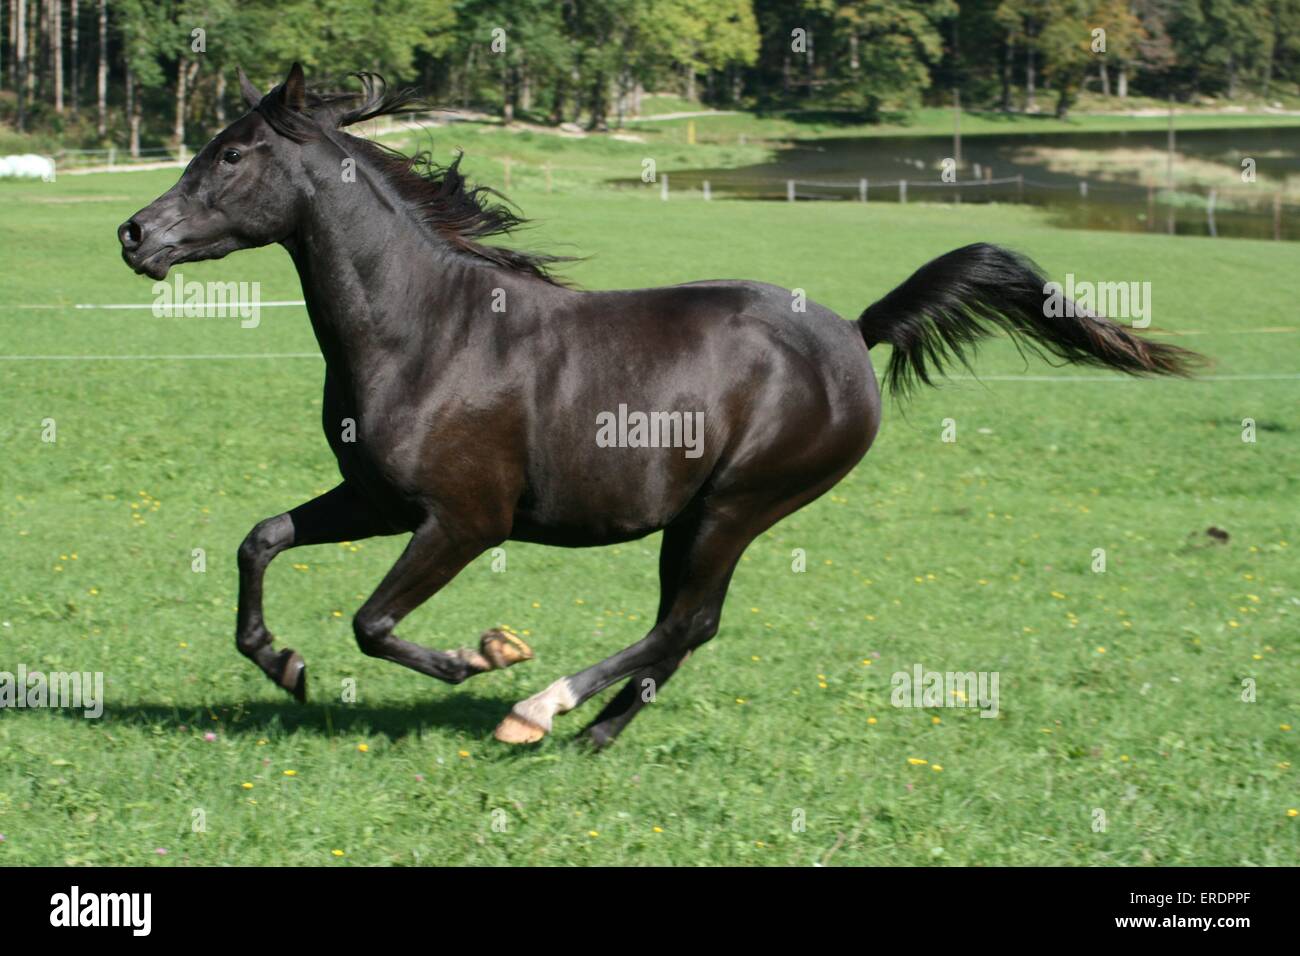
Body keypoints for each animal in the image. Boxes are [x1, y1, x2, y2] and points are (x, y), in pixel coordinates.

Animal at [118, 64, 1201, 748]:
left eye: (232, 155)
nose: (135, 234)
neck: (427, 331)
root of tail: (855, 334)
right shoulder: (377, 498)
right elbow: (260, 540)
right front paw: (281, 663)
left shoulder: (462, 520)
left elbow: (374, 622)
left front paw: (482, 657)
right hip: (696, 515)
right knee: (683, 627)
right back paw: (590, 730)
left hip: (737, 504)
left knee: (686, 624)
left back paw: (539, 710)